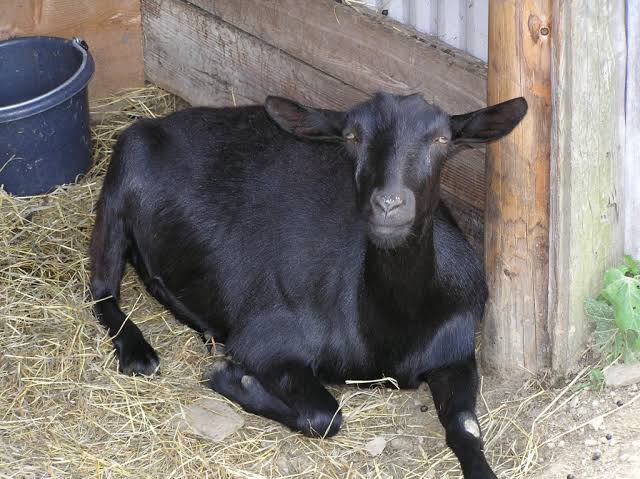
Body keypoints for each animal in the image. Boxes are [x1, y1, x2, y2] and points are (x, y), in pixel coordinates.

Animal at [89, 91, 527, 478]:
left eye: (442, 139)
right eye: (351, 136)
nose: (388, 204)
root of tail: (160, 123)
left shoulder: (457, 351)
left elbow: (466, 428)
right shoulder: (267, 338)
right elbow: (324, 416)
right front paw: (231, 378)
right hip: (119, 183)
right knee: (101, 286)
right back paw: (139, 352)